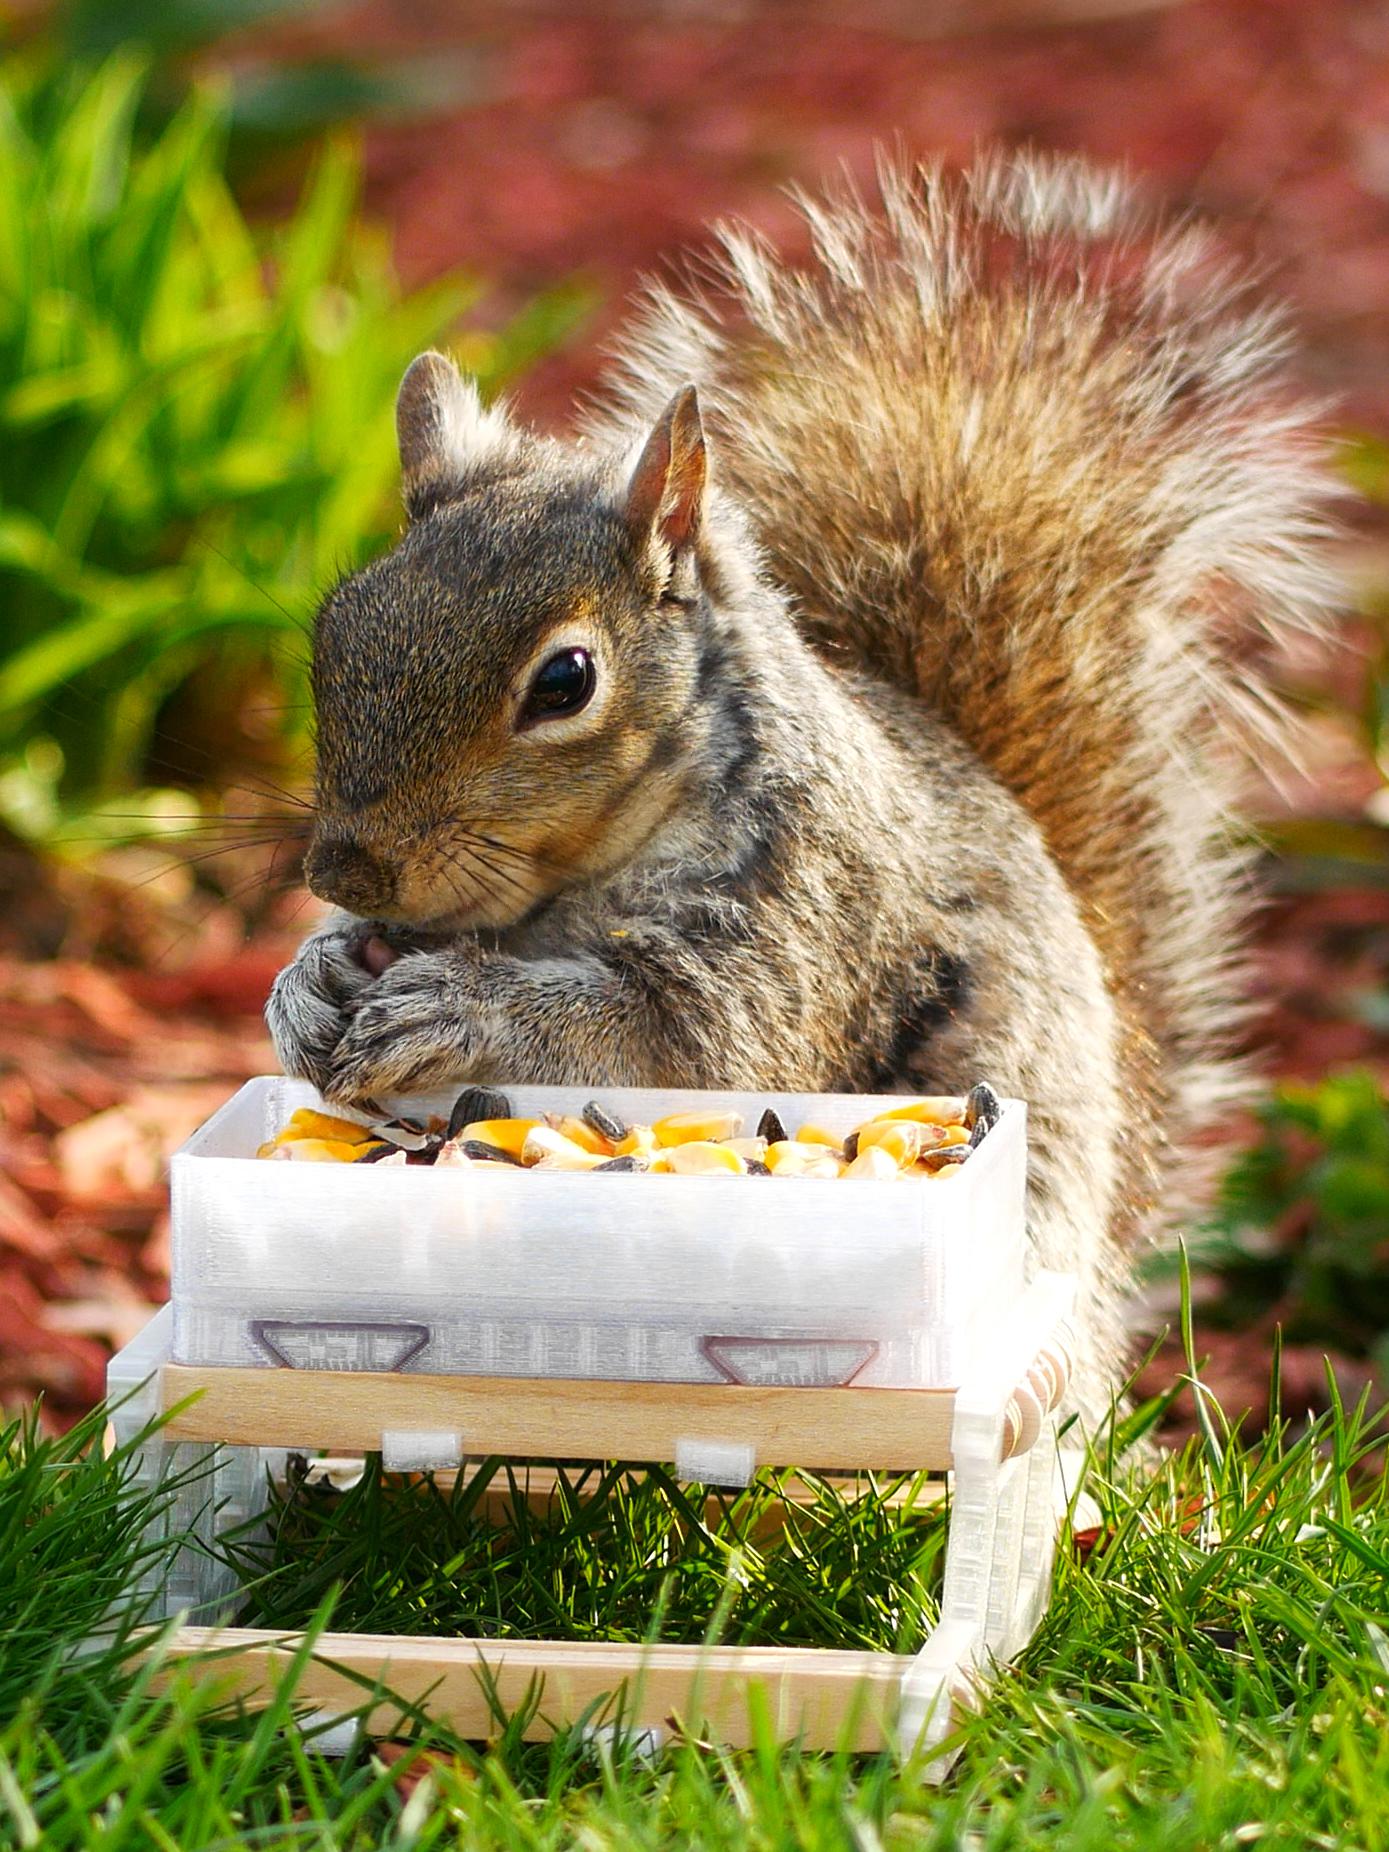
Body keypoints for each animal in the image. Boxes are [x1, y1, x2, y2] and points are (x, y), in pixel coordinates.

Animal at [265, 152, 1337, 1419]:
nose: (344, 868)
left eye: (565, 681)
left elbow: (684, 1048)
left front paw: (457, 1009)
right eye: (337, 625)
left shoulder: (801, 921)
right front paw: (308, 980)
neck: (571, 887)